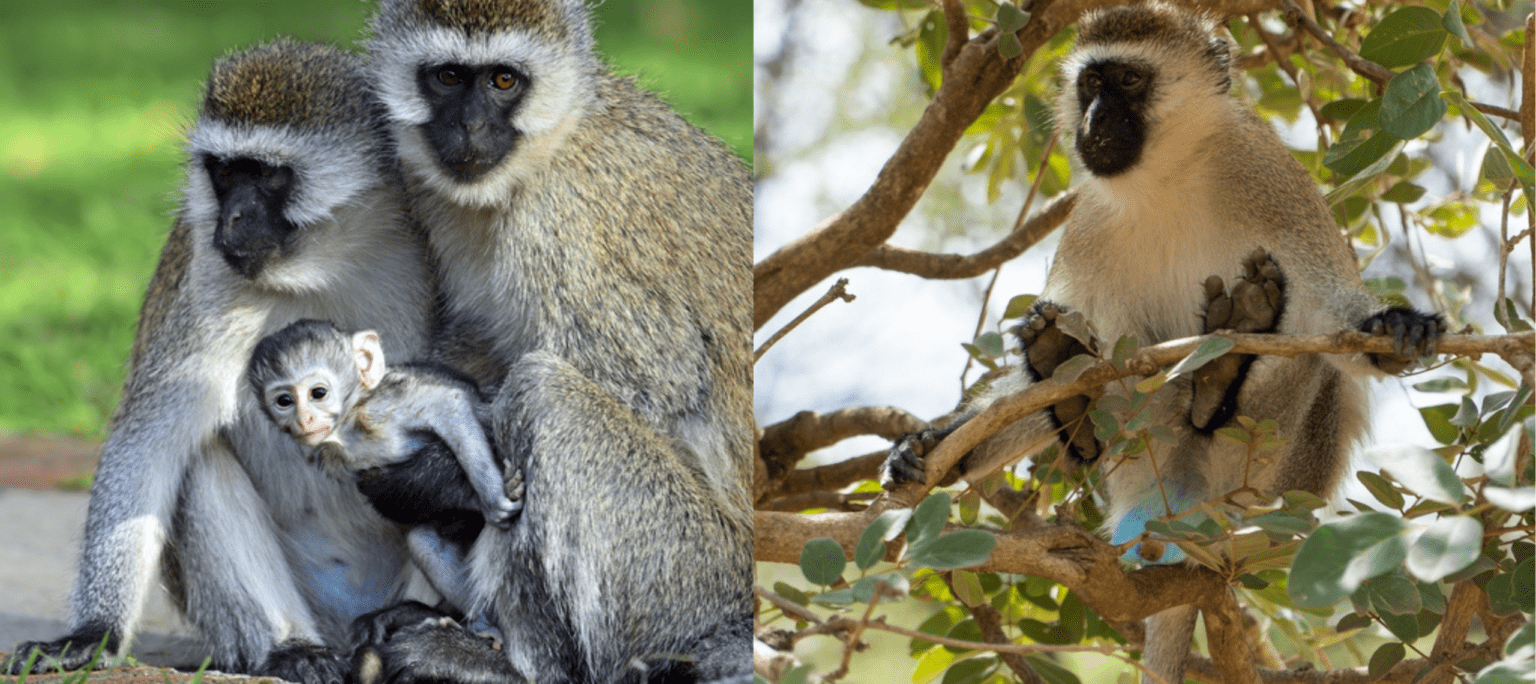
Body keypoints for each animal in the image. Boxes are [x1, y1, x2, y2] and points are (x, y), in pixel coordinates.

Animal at [7, 41, 439, 684]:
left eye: (267, 175)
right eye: (224, 172)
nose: (229, 219)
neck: (325, 265)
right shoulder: (209, 280)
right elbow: (147, 444)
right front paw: (90, 633)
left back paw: (415, 627)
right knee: (197, 458)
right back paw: (293, 648)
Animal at [245, 318, 522, 641]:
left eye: (318, 393)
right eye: (284, 401)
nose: (304, 420)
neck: (348, 430)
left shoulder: (383, 407)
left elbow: (449, 406)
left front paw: (492, 497)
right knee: (427, 544)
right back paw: (480, 624)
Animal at [357, 1, 755, 682]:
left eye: (503, 81)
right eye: (447, 78)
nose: (469, 126)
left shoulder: (564, 228)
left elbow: (656, 382)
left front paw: (429, 477)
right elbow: (475, 346)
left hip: (686, 574)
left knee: (544, 395)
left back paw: (508, 662)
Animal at [880, 5, 1445, 684]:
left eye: (1128, 81)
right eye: (1090, 85)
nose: (1094, 122)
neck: (1165, 174)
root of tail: (1181, 512)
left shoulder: (1267, 174)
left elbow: (1328, 308)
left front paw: (1391, 327)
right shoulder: (1089, 223)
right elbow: (1071, 363)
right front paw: (934, 443)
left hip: (1274, 493)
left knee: (1305, 360)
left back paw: (1220, 382)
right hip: (1134, 463)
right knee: (1108, 372)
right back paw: (1076, 402)